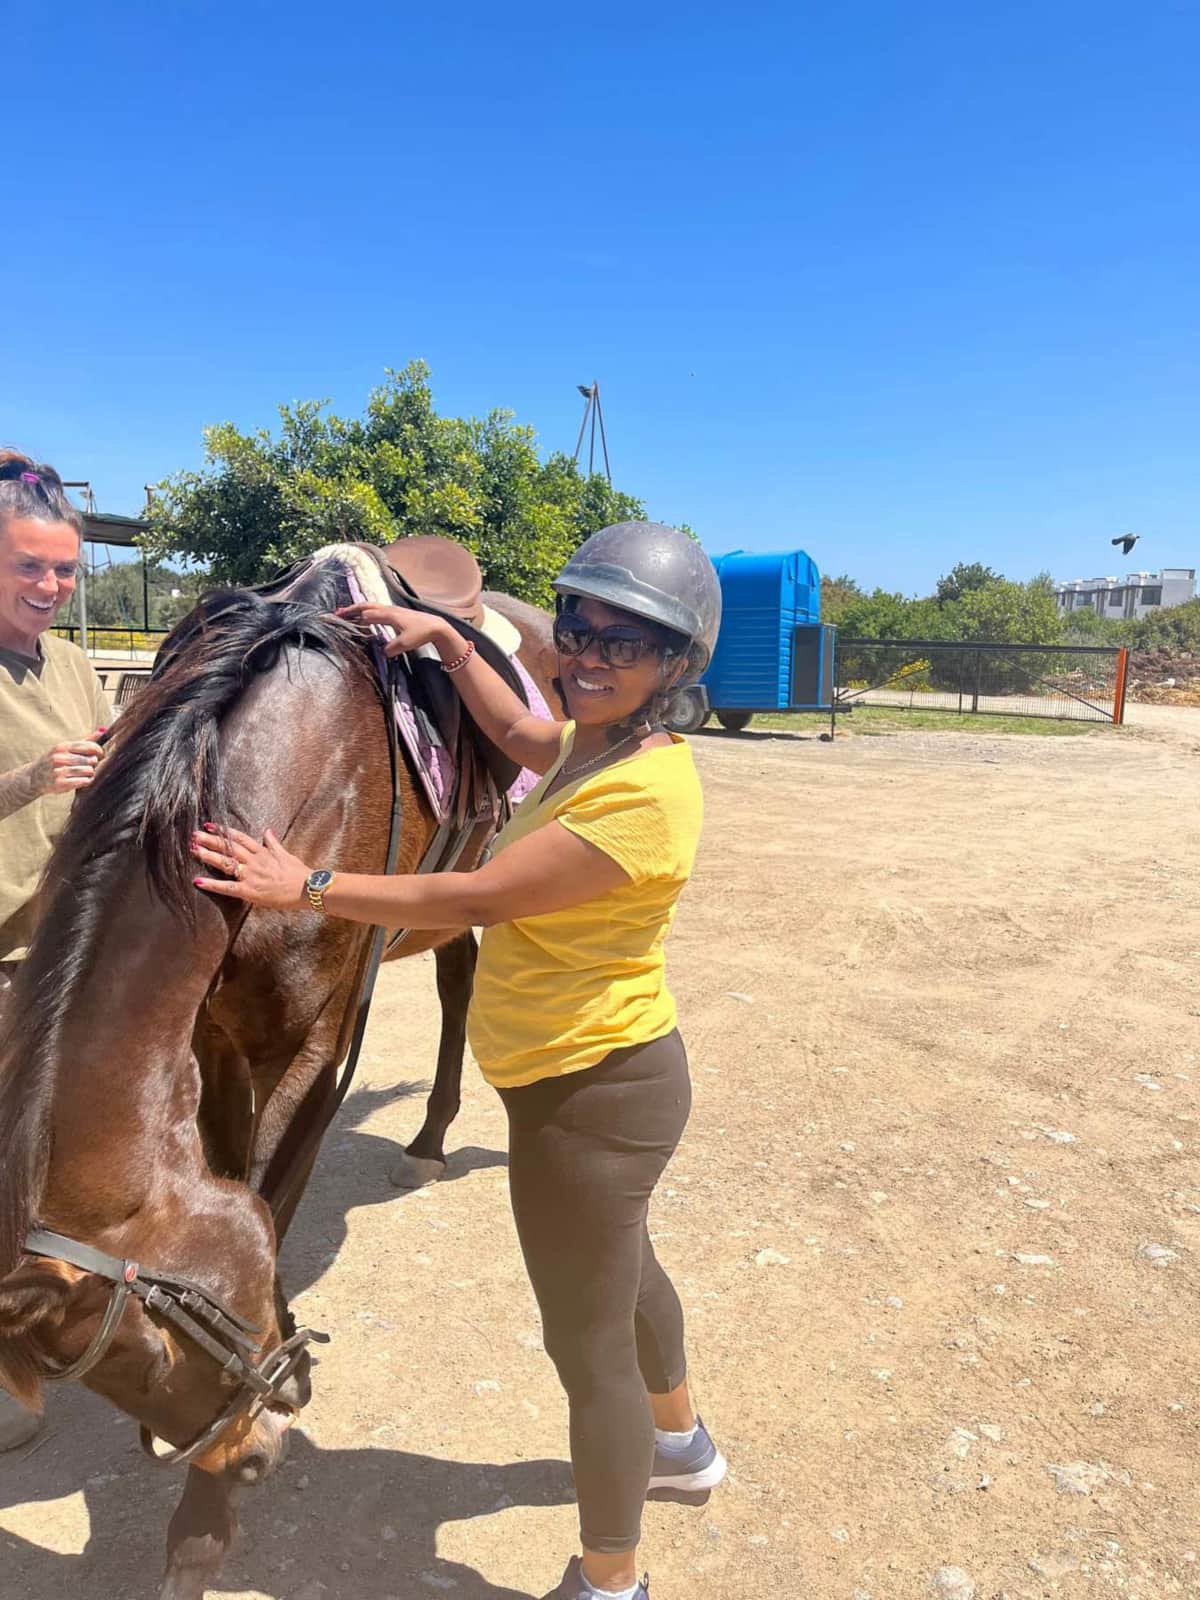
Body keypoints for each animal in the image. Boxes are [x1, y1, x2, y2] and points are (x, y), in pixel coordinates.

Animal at [0, 549, 557, 1599]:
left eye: (150, 1352)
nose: (252, 1452)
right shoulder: (214, 1041)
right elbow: (241, 1187)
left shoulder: (307, 1052)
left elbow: (272, 1195)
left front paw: (200, 1533)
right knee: (458, 969)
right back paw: (429, 1136)